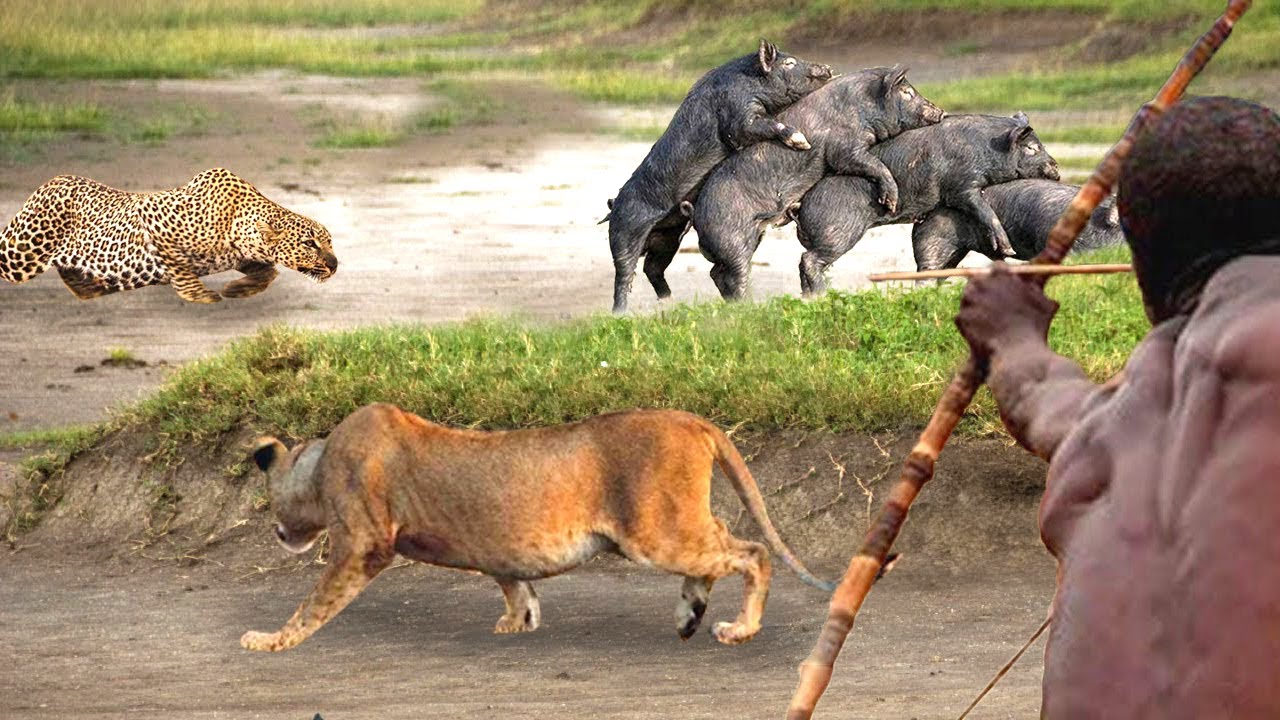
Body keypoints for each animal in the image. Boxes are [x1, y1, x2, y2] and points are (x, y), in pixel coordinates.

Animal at [0, 168, 337, 303]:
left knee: (70, 269)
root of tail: (51, 181)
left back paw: (93, 287)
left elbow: (268, 272)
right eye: (309, 243)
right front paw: (199, 295)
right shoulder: (151, 215)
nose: (334, 264)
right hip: (20, 254)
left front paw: (238, 290)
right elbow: (178, 265)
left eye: (330, 242)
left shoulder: (243, 255)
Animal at [241, 403, 834, 652]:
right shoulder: (499, 553)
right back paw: (690, 614)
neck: (319, 463)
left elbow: (314, 602)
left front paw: (269, 640)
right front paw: (518, 621)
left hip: (657, 532)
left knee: (753, 552)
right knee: (722, 541)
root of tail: (690, 418)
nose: (277, 535)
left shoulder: (364, 544)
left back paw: (740, 628)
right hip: (674, 523)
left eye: (270, 505)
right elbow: (512, 583)